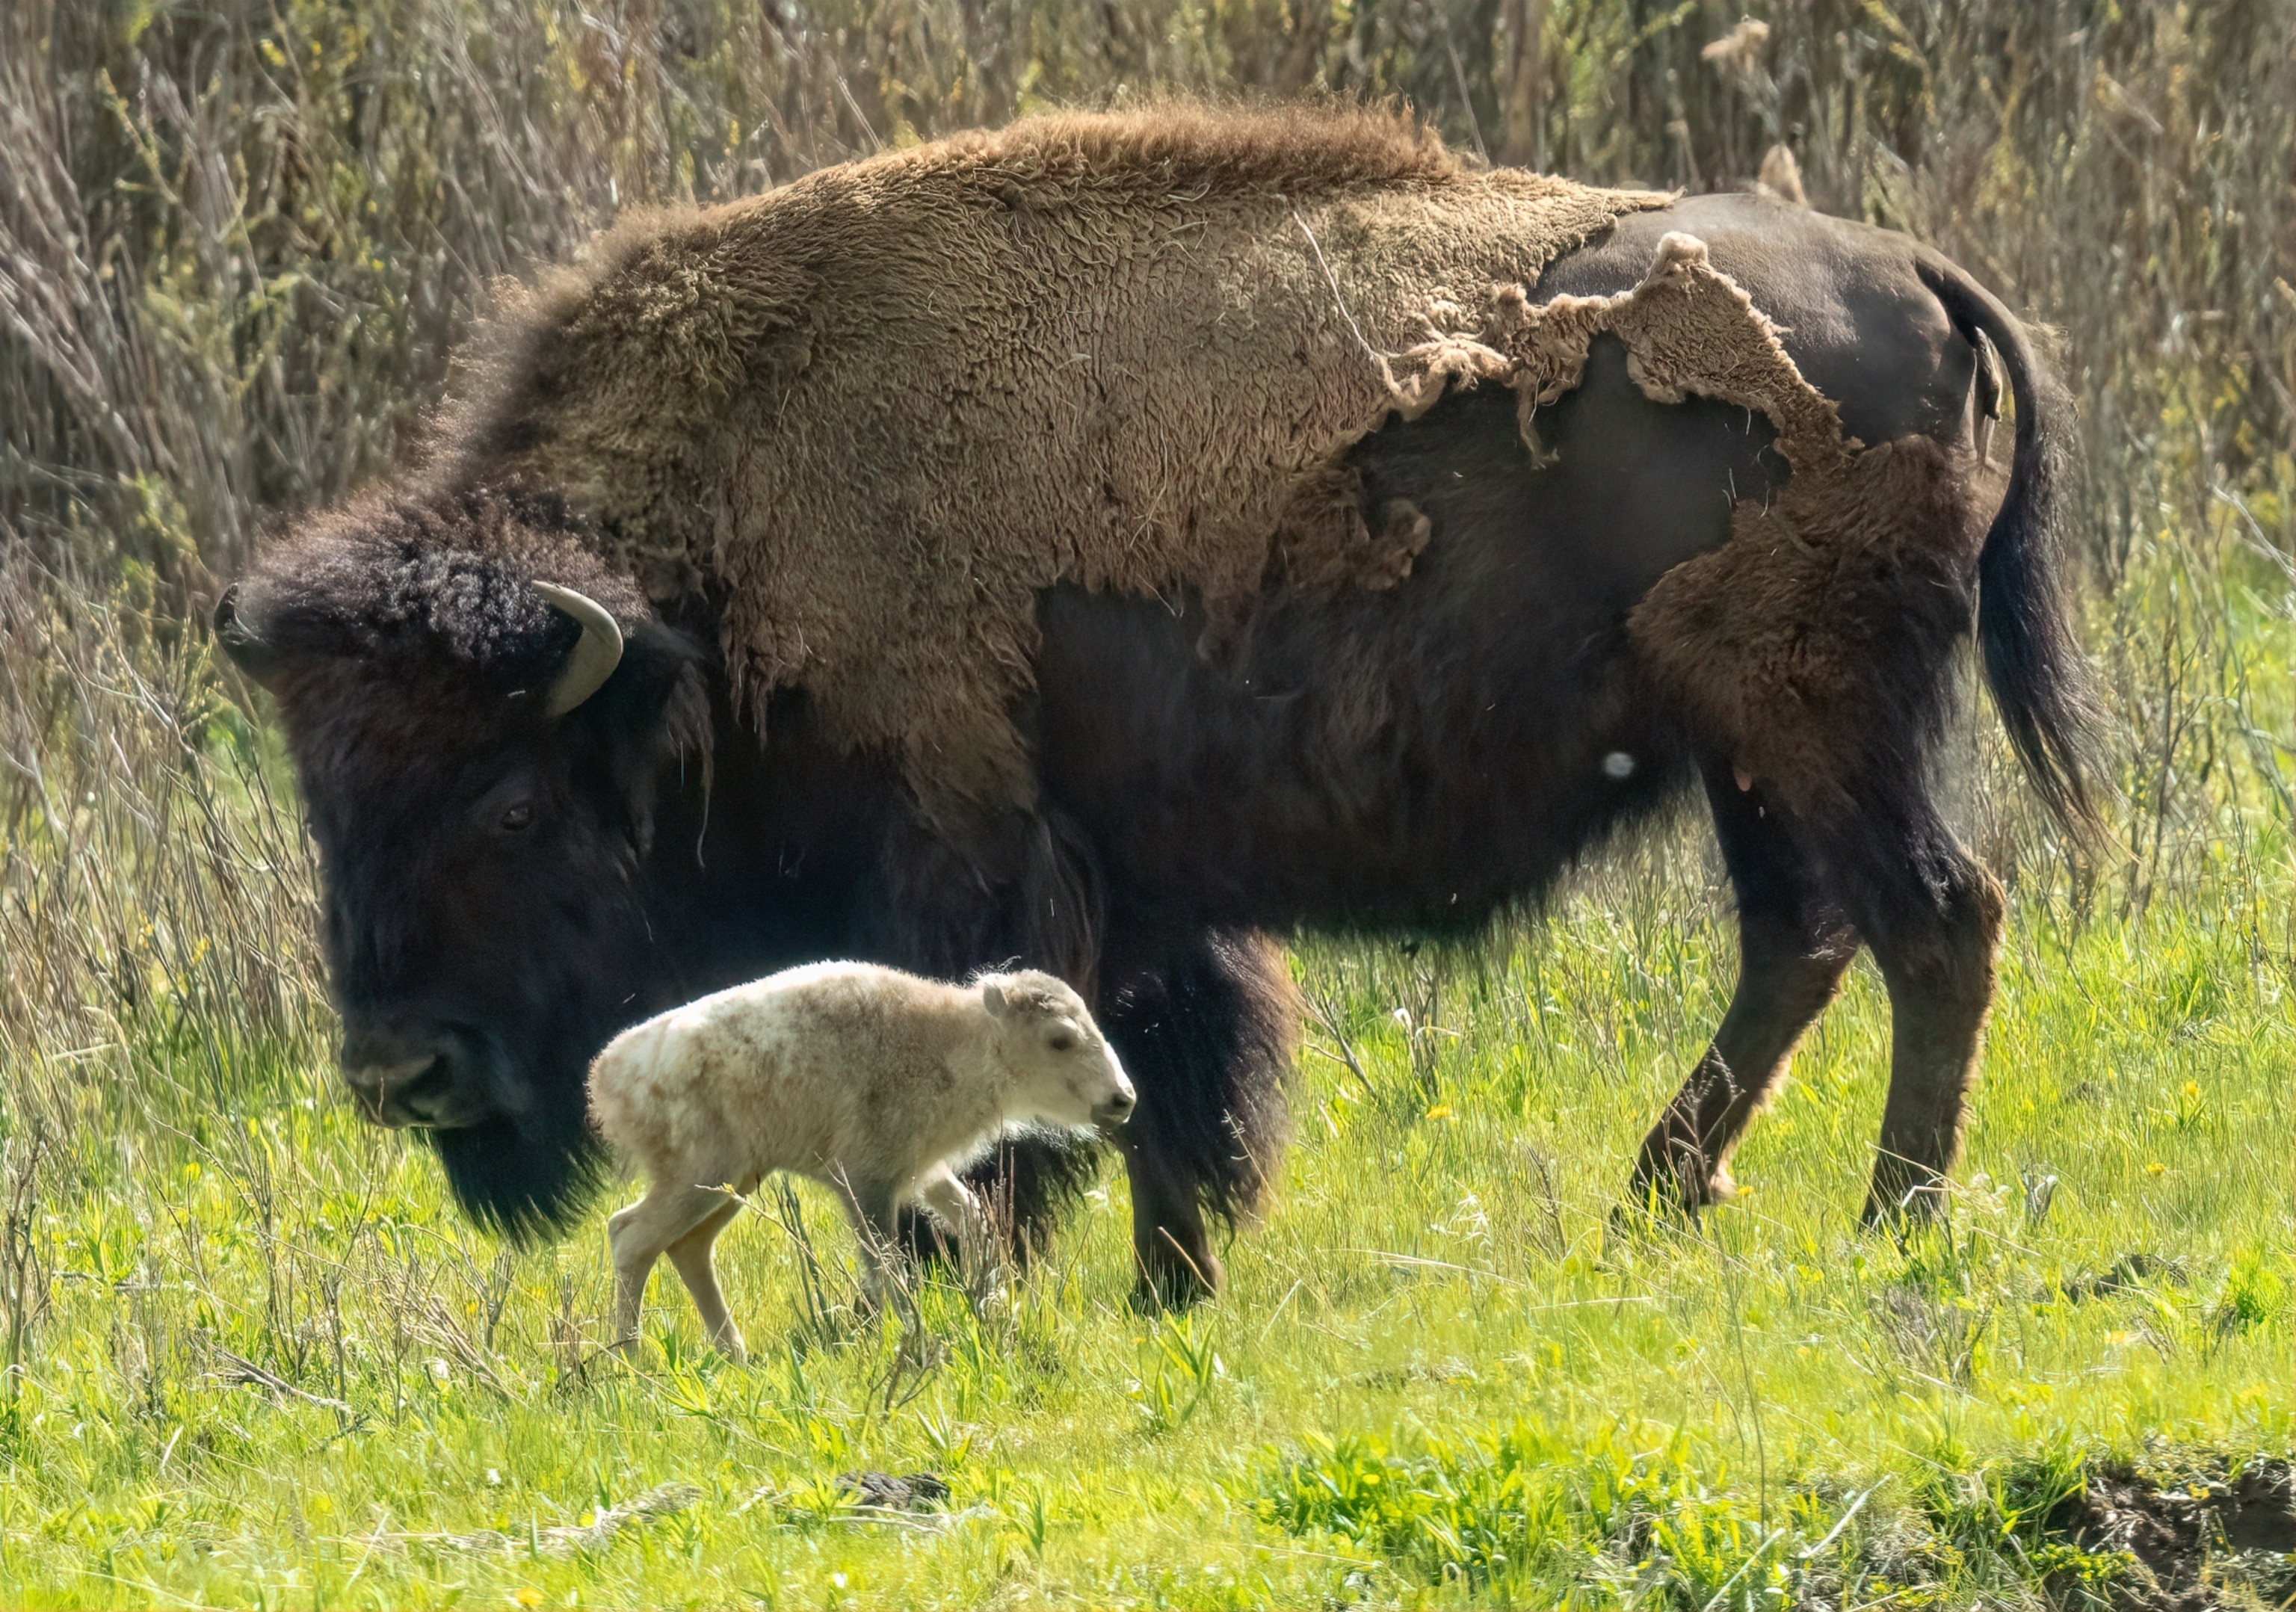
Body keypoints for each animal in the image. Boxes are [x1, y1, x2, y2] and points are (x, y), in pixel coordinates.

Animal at [212, 104, 2100, 1307]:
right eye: (327, 802)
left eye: (513, 799)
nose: (397, 1069)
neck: (705, 581)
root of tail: (1906, 271)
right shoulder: (1145, 892)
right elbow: (1176, 1077)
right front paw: (1165, 1291)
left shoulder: (977, 864)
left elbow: (1018, 1083)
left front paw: (961, 1285)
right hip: (1749, 752)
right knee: (1804, 938)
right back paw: (1653, 1205)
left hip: (1814, 723)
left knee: (1931, 917)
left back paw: (1884, 1221)